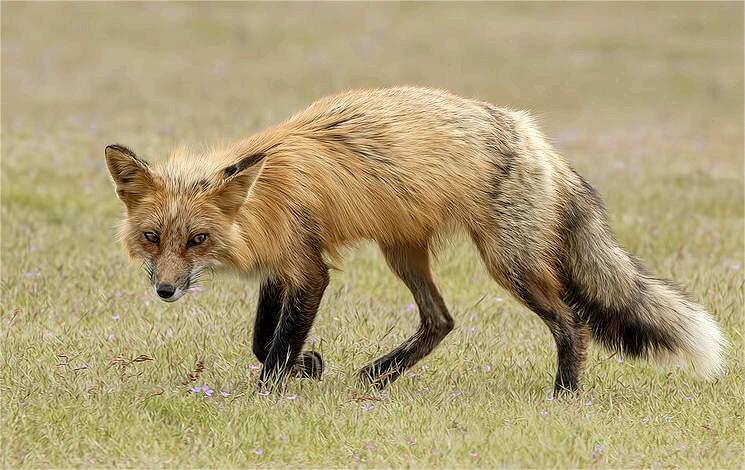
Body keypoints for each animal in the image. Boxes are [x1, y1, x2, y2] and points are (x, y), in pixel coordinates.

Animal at [105, 86, 727, 395]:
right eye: (153, 237)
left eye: (198, 239)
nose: (164, 291)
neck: (264, 199)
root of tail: (531, 132)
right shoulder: (284, 265)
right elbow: (263, 340)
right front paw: (306, 367)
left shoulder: (308, 270)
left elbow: (276, 347)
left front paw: (274, 390)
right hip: (403, 253)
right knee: (440, 321)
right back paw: (381, 375)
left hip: (509, 264)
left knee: (572, 324)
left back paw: (565, 394)